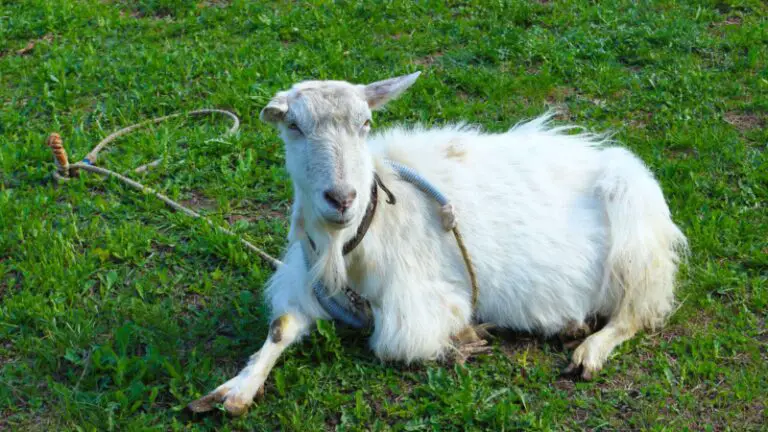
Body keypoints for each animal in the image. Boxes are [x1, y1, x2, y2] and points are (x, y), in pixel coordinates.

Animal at [188, 72, 687, 416]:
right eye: (293, 126)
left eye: (366, 122)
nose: (342, 198)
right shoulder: (303, 281)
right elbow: (281, 327)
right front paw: (236, 388)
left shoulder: (427, 302)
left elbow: (393, 341)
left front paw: (465, 338)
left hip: (636, 238)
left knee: (637, 314)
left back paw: (589, 349)